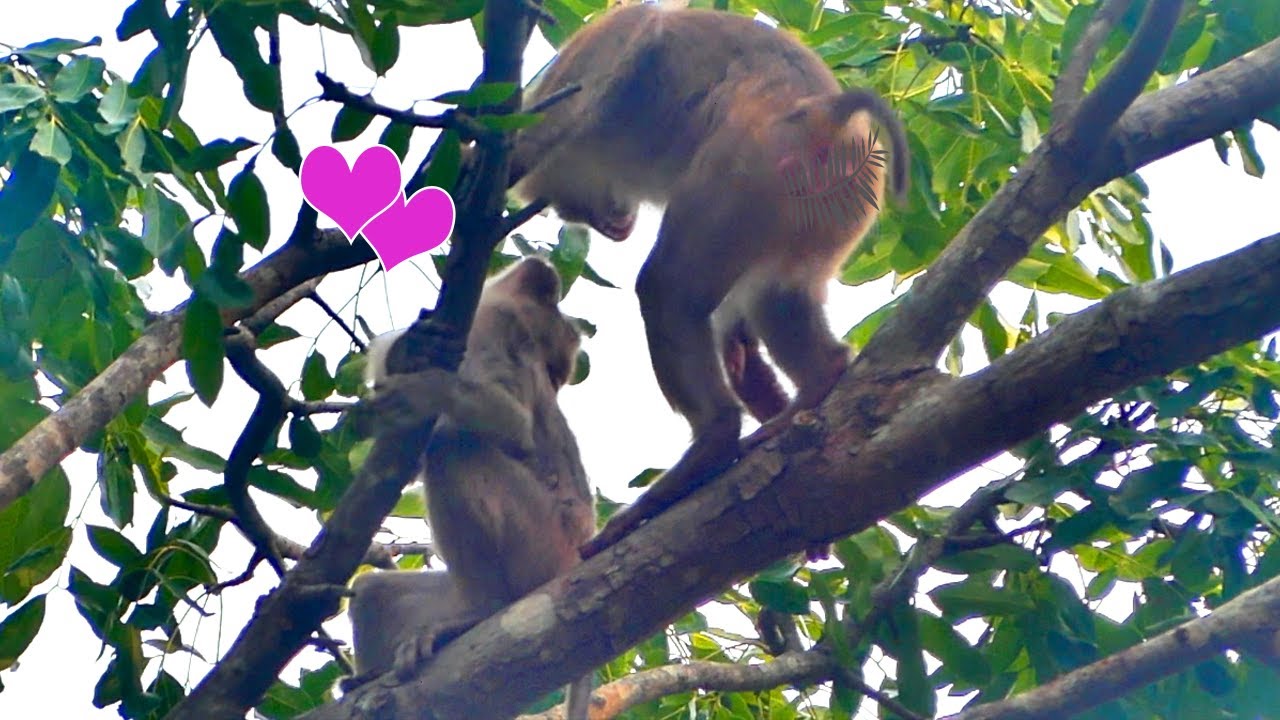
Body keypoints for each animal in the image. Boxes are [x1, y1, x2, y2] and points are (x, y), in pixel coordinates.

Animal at [346, 257, 596, 720]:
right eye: (558, 371)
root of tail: (576, 553)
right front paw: (408, 348)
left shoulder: (498, 331)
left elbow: (514, 428)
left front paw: (426, 389)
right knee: (371, 594)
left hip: (539, 542)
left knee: (455, 448)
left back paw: (484, 609)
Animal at [505, 5, 910, 557]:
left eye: (575, 209)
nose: (611, 225)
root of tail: (825, 113)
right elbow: (742, 338)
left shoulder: (590, 57)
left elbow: (633, 40)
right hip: (831, 198)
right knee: (778, 299)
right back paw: (818, 381)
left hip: (750, 168)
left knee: (667, 290)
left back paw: (714, 443)